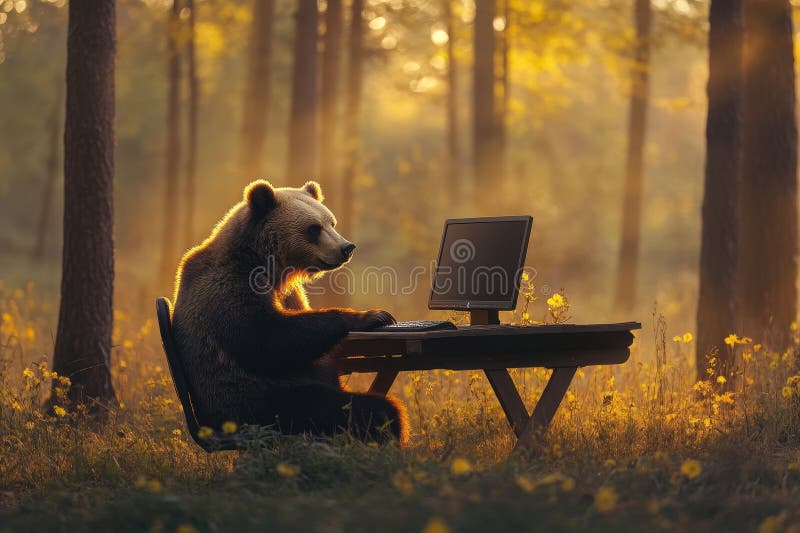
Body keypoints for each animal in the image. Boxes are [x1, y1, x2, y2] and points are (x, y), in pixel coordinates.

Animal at [170, 179, 408, 444]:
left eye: (331, 222)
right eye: (314, 228)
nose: (347, 247)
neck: (265, 262)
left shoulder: (290, 294)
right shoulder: (228, 287)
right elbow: (267, 339)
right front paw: (372, 315)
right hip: (261, 402)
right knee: (352, 409)